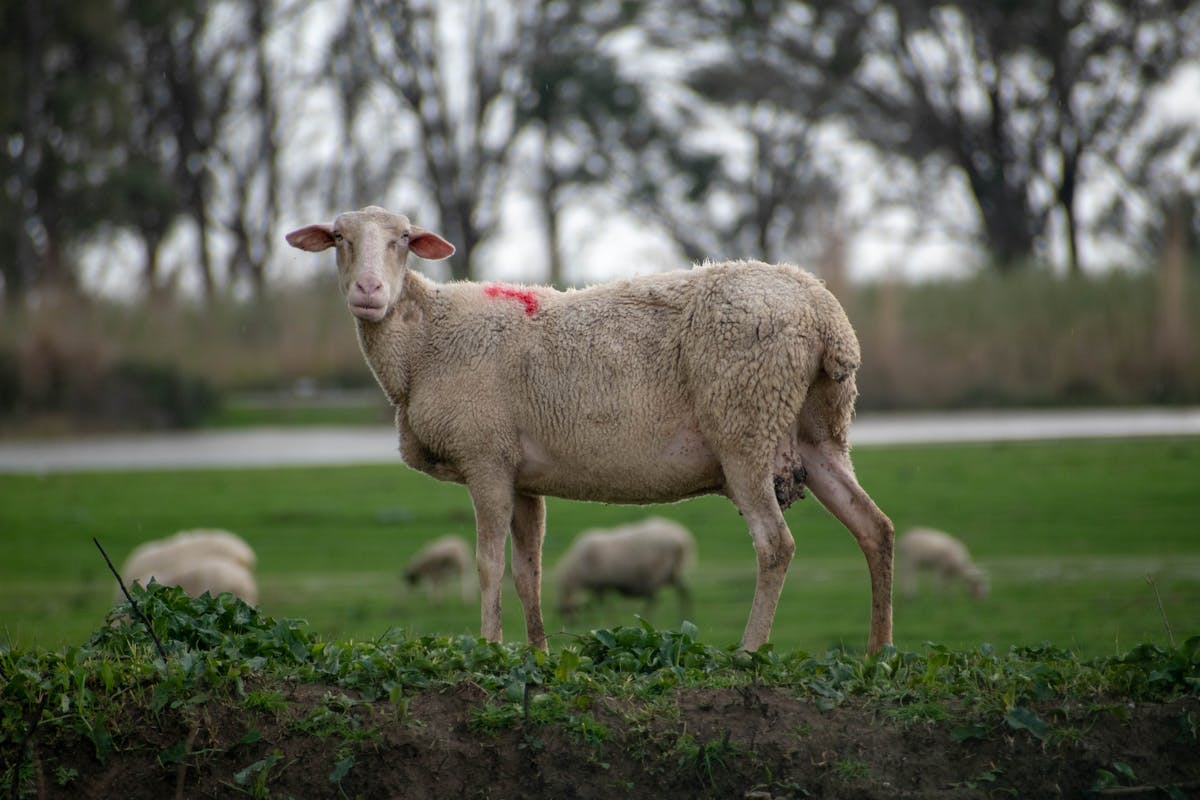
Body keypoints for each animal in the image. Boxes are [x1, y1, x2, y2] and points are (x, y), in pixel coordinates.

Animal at [555, 516, 696, 621]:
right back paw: (685, 617)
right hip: (675, 572)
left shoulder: (603, 584)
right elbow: (604, 605)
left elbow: (606, 606)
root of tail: (681, 538)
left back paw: (648, 618)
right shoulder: (603, 586)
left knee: (654, 600)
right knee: (684, 592)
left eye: (567, 611)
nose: (572, 624)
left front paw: (609, 620)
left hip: (658, 573)